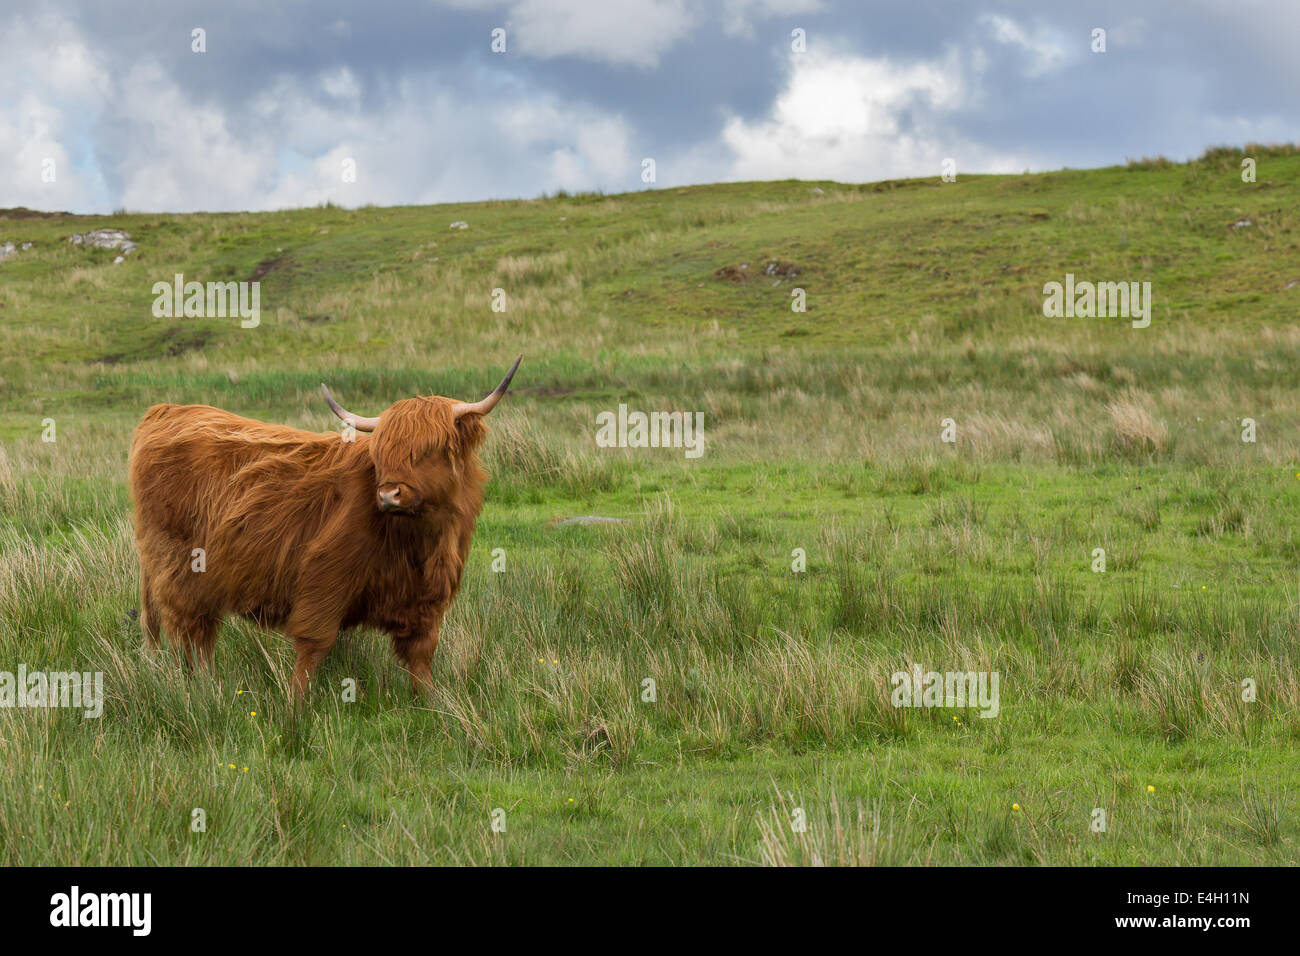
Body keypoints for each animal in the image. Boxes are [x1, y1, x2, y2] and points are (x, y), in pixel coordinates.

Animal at [127, 356, 521, 700]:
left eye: (432, 449)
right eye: (382, 453)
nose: (388, 494)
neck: (420, 541)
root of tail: (168, 410)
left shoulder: (426, 600)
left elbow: (420, 656)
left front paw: (430, 705)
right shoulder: (324, 579)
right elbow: (313, 647)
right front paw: (295, 707)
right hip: (181, 572)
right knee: (191, 633)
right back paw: (204, 689)